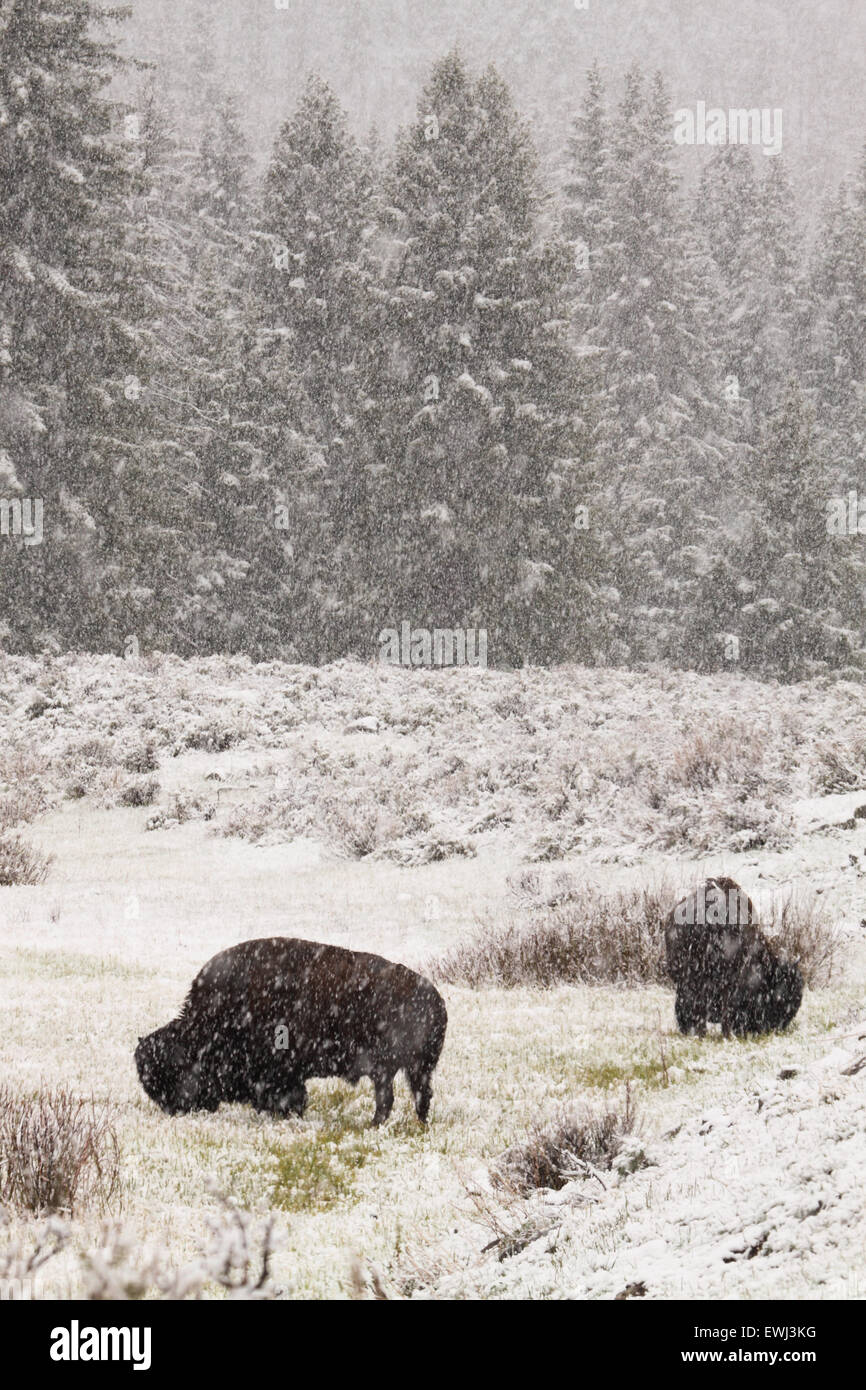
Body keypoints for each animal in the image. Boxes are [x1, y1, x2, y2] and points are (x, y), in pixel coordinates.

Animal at [135, 938, 447, 1126]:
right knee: (416, 1097)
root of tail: (436, 999)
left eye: (170, 1072)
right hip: (409, 1070)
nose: (172, 1109)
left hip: (393, 1069)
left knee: (392, 1099)